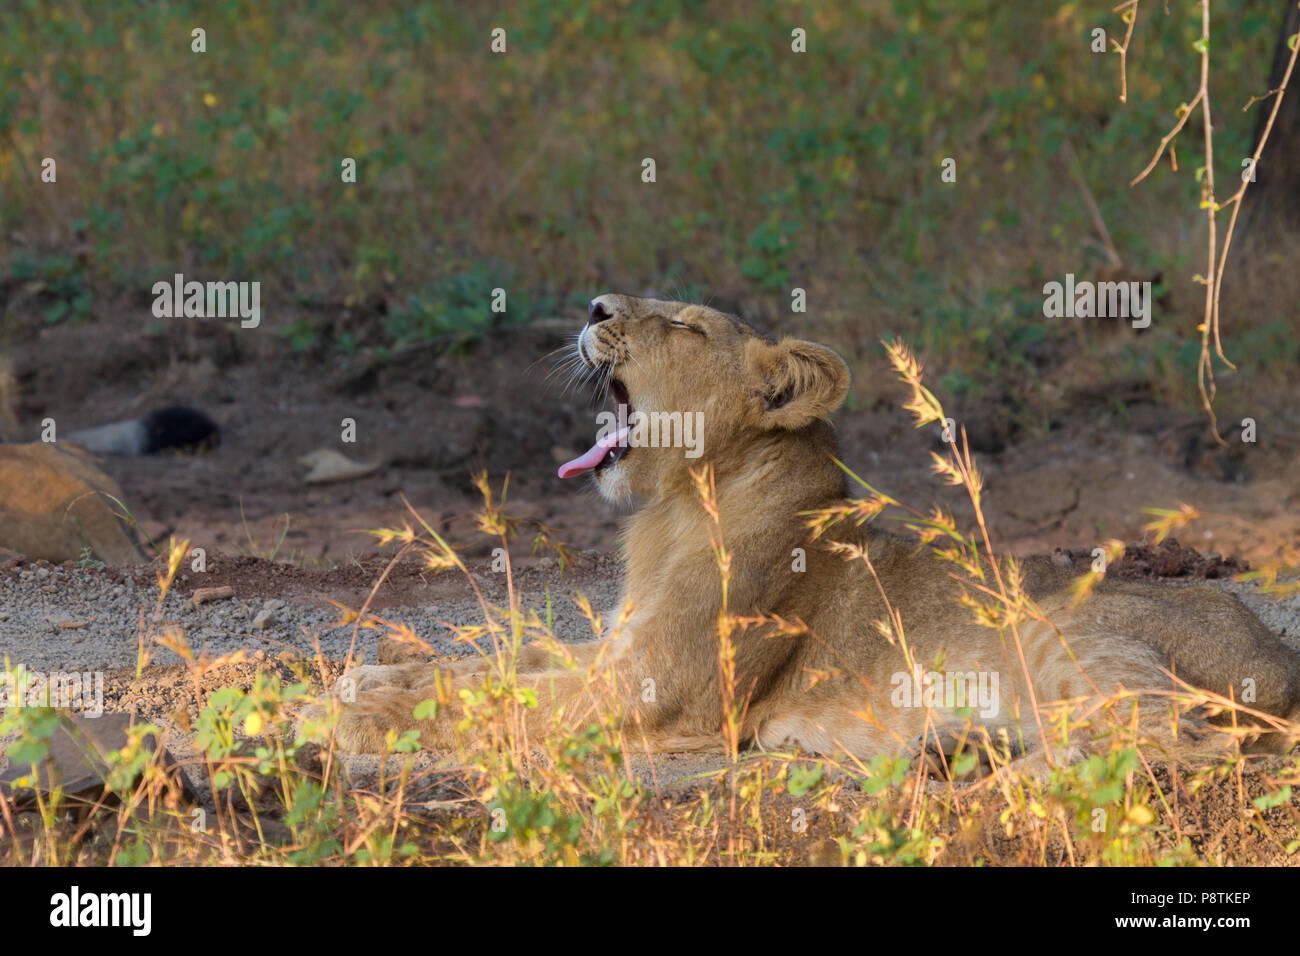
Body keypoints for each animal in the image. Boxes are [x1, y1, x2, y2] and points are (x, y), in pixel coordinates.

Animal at [323, 294, 1300, 769]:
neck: (676, 507)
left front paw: (346, 719)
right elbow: (493, 664)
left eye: (683, 326)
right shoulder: (619, 651)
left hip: (1056, 632)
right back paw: (953, 746)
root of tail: (1278, 657)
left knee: (1180, 745)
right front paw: (368, 676)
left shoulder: (655, 695)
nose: (593, 308)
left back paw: (987, 768)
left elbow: (501, 701)